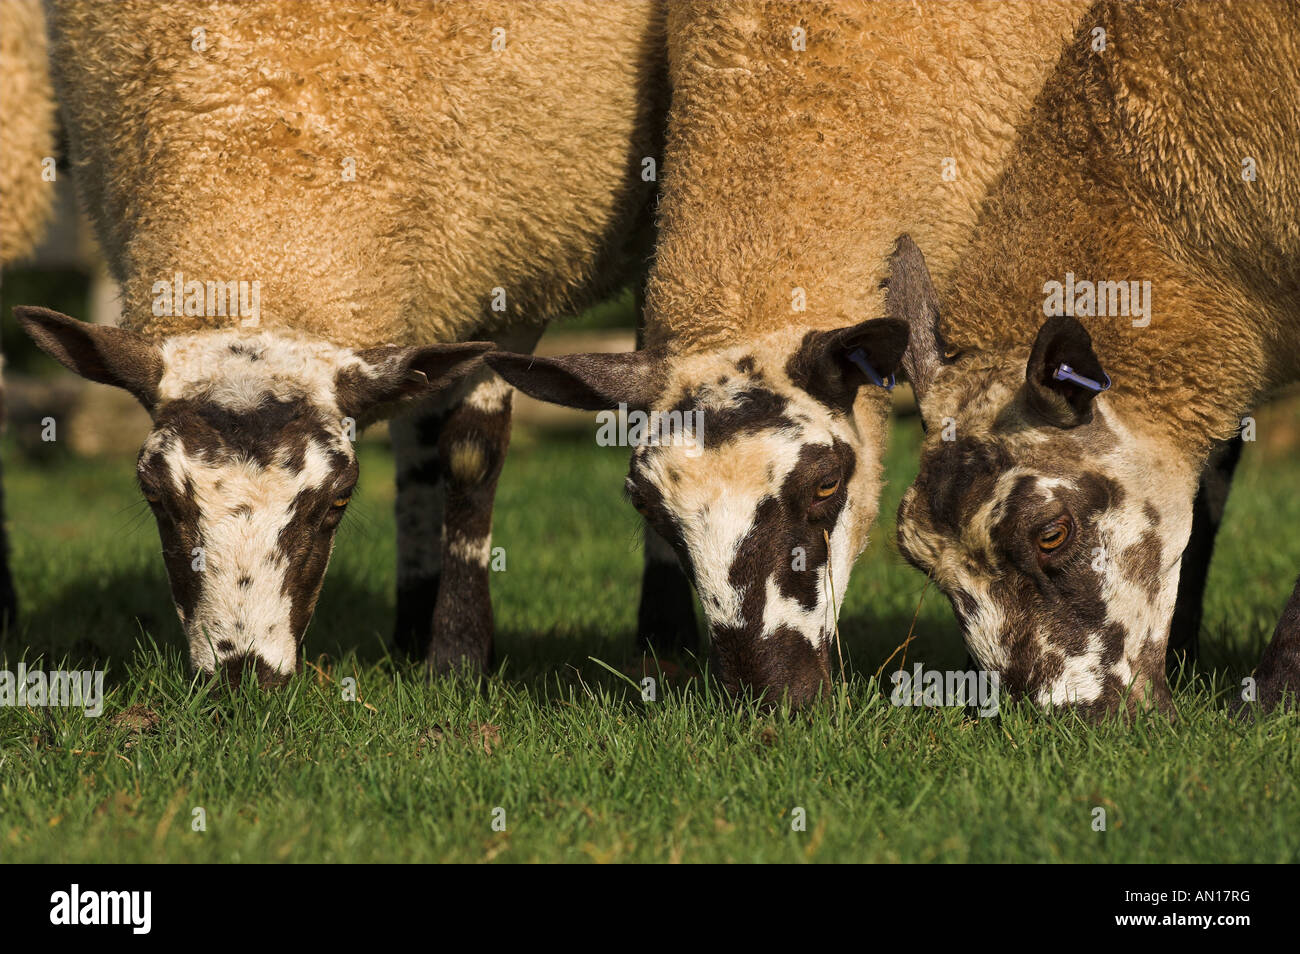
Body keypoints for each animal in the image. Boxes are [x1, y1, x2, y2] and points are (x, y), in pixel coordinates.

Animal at [16, 0, 665, 685]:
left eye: (338, 502)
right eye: (154, 497)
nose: (245, 673)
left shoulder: (511, 280)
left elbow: (471, 455)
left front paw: (459, 657)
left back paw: (660, 637)